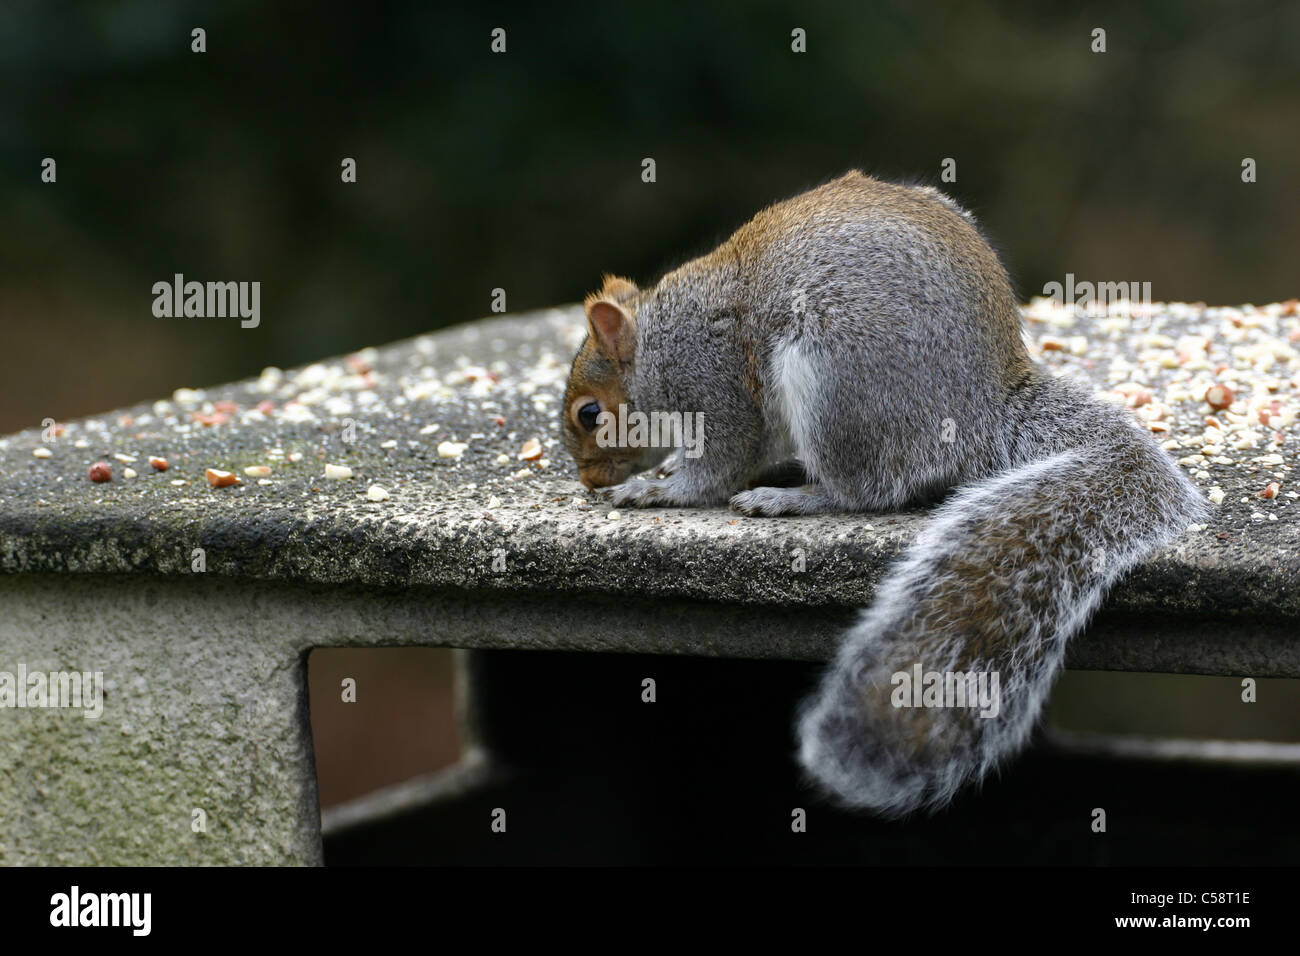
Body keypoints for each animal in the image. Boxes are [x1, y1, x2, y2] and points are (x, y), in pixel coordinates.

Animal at [561, 170, 1207, 816]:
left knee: (866, 488)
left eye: (590, 414)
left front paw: (658, 489)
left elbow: (718, 466)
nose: (590, 480)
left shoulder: (712, 383)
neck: (655, 343)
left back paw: (797, 498)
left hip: (836, 375)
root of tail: (986, 408)